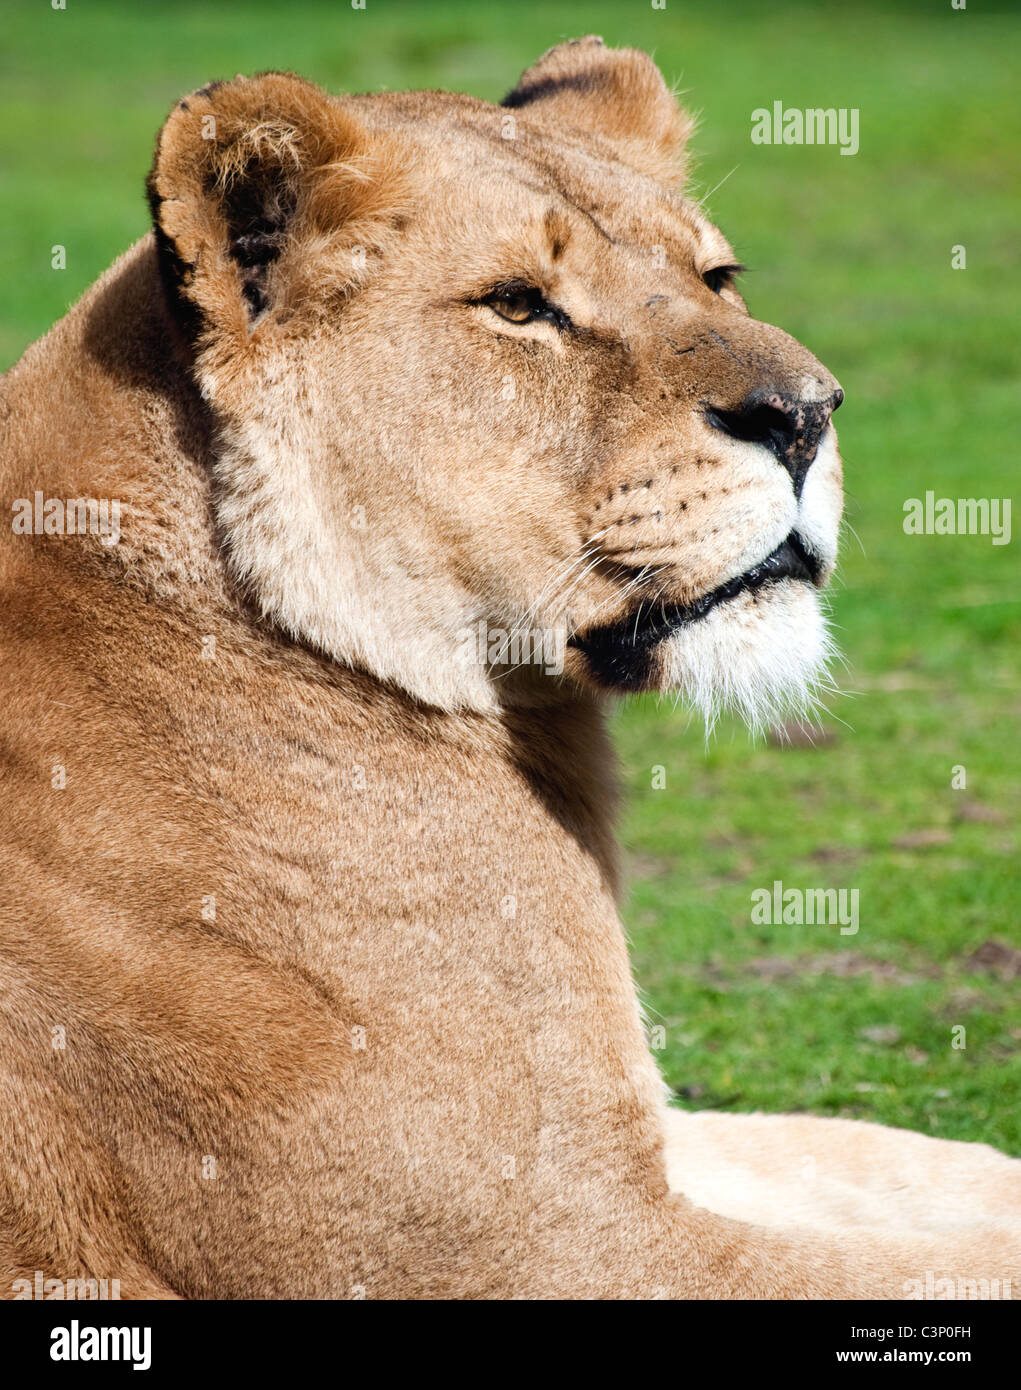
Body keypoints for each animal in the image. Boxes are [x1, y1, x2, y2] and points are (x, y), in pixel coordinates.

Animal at [0, 37, 1018, 1301]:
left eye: (716, 277)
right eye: (519, 305)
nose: (804, 415)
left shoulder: (623, 1146)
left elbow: (904, 1163)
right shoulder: (527, 1241)